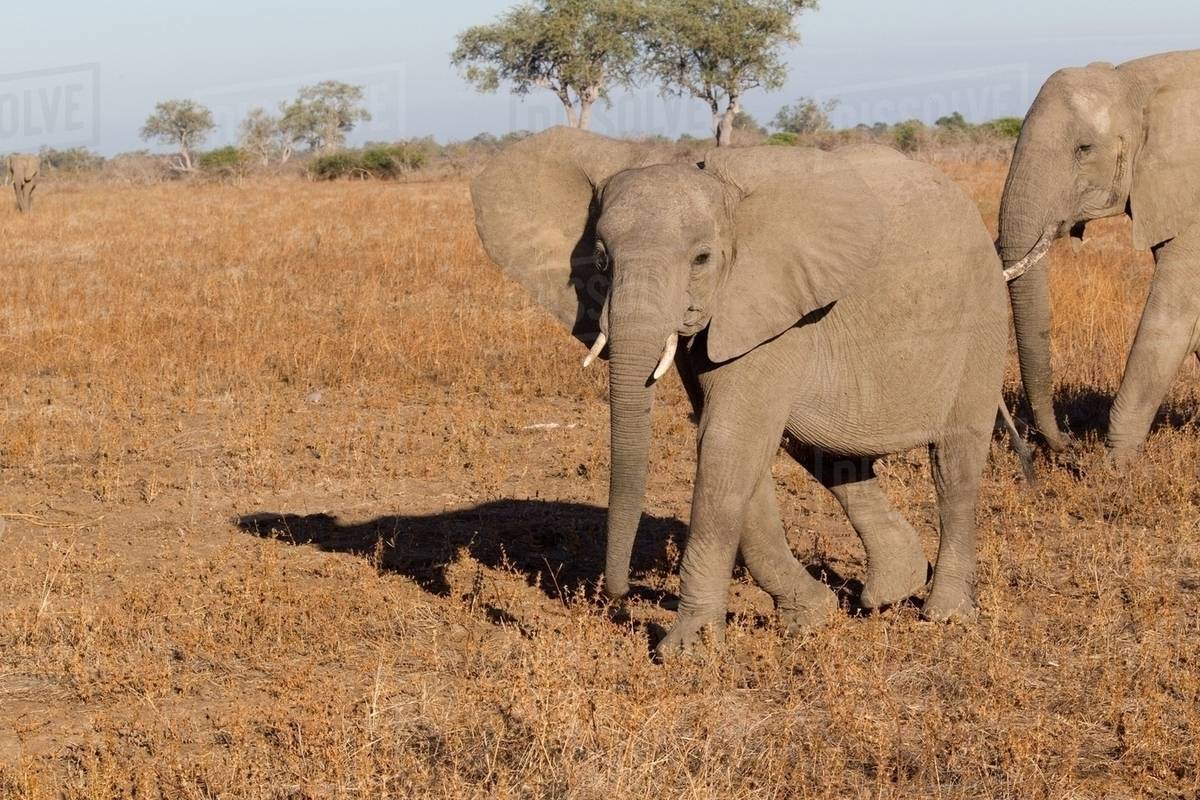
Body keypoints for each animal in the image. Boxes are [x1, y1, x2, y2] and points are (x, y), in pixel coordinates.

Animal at [471, 128, 1007, 656]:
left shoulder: (773, 305)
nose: (615, 595)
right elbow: (730, 444)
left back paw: (944, 614)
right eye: (601, 259)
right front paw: (811, 617)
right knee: (825, 452)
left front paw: (688, 651)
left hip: (981, 318)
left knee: (954, 465)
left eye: (702, 258)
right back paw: (891, 591)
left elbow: (729, 440)